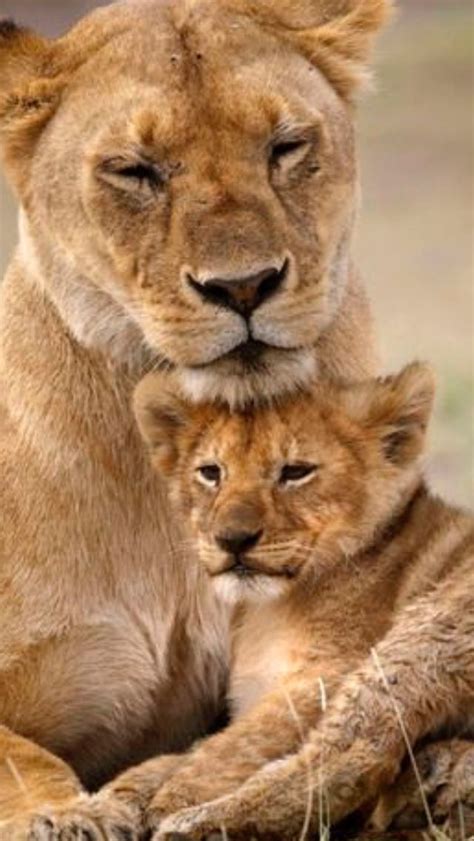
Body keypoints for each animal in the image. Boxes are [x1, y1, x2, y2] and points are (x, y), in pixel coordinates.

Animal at [120, 362, 472, 839]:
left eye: (295, 472)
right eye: (211, 472)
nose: (232, 539)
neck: (268, 608)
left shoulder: (327, 672)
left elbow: (236, 745)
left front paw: (169, 800)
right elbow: (195, 749)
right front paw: (115, 799)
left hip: (428, 631)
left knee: (354, 753)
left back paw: (192, 824)